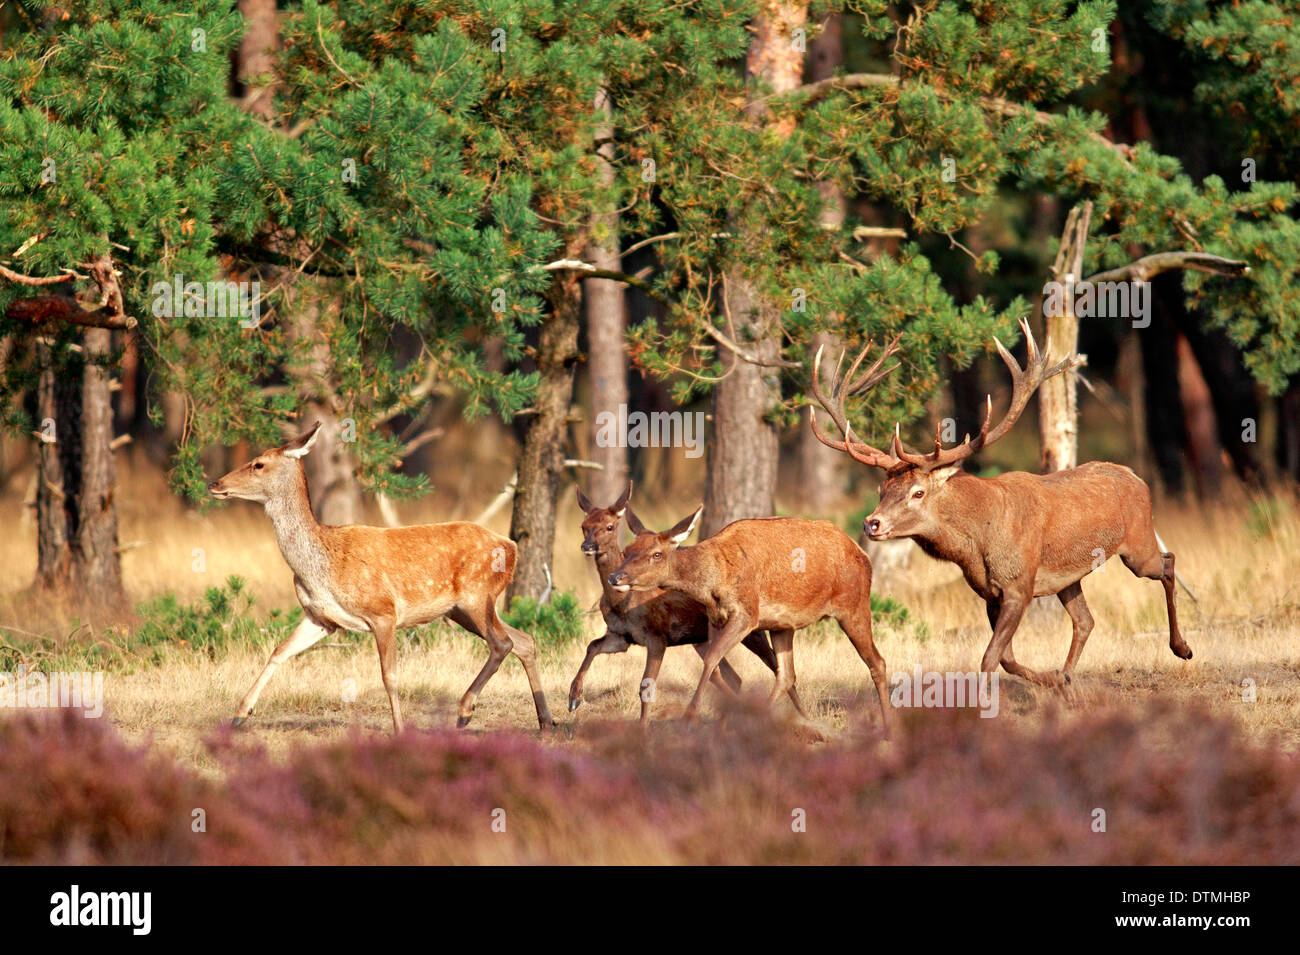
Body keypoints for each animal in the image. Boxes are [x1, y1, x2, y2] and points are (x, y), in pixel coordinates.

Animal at [206, 422, 553, 733]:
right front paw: (240, 714)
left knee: (503, 643)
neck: (322, 566)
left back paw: (466, 710)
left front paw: (399, 729)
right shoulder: (321, 618)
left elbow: (389, 675)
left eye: (259, 464)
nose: (215, 483)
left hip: (476, 595)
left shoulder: (383, 611)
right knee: (524, 640)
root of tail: (510, 546)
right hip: (462, 609)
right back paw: (546, 721)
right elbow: (279, 651)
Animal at [572, 483, 809, 724]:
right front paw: (574, 698)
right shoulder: (622, 637)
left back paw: (802, 716)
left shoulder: (657, 636)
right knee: (735, 677)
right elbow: (592, 646)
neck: (622, 604)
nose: (588, 545)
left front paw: (643, 728)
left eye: (609, 526)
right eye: (584, 525)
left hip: (751, 630)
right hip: (703, 640)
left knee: (774, 668)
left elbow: (646, 686)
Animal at [607, 510, 892, 736]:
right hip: (782, 625)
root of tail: (864, 555)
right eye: (627, 551)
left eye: (656, 554)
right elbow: (716, 666)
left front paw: (689, 717)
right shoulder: (715, 618)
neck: (713, 584)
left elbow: (712, 659)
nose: (615, 576)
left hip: (853, 606)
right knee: (786, 674)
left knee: (877, 661)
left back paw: (888, 728)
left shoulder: (747, 613)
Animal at [807, 317, 1193, 690]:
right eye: (881, 489)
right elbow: (1006, 657)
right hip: (1069, 578)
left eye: (918, 492)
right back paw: (1067, 679)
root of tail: (1136, 477)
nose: (871, 523)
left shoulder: (1019, 585)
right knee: (1086, 620)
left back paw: (1182, 648)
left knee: (1168, 562)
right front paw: (1050, 679)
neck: (979, 541)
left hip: (1137, 545)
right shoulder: (989, 593)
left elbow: (990, 657)